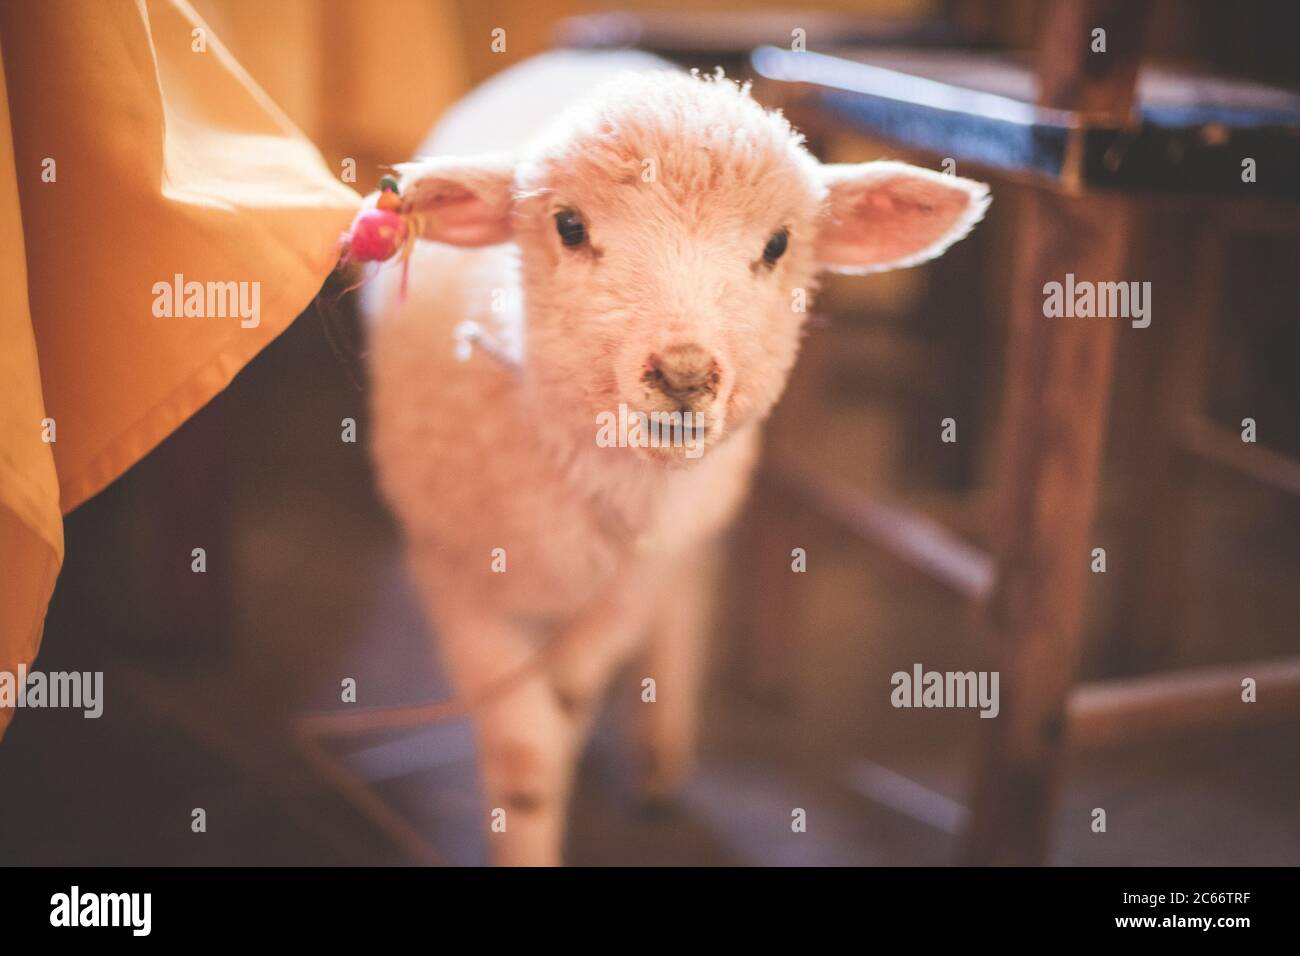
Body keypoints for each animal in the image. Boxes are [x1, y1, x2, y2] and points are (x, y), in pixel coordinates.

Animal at [361, 50, 989, 866]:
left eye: (779, 245)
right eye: (568, 225)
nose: (685, 376)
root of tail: (598, 55)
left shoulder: (637, 576)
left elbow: (566, 704)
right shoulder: (452, 575)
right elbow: (525, 757)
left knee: (686, 605)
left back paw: (662, 752)